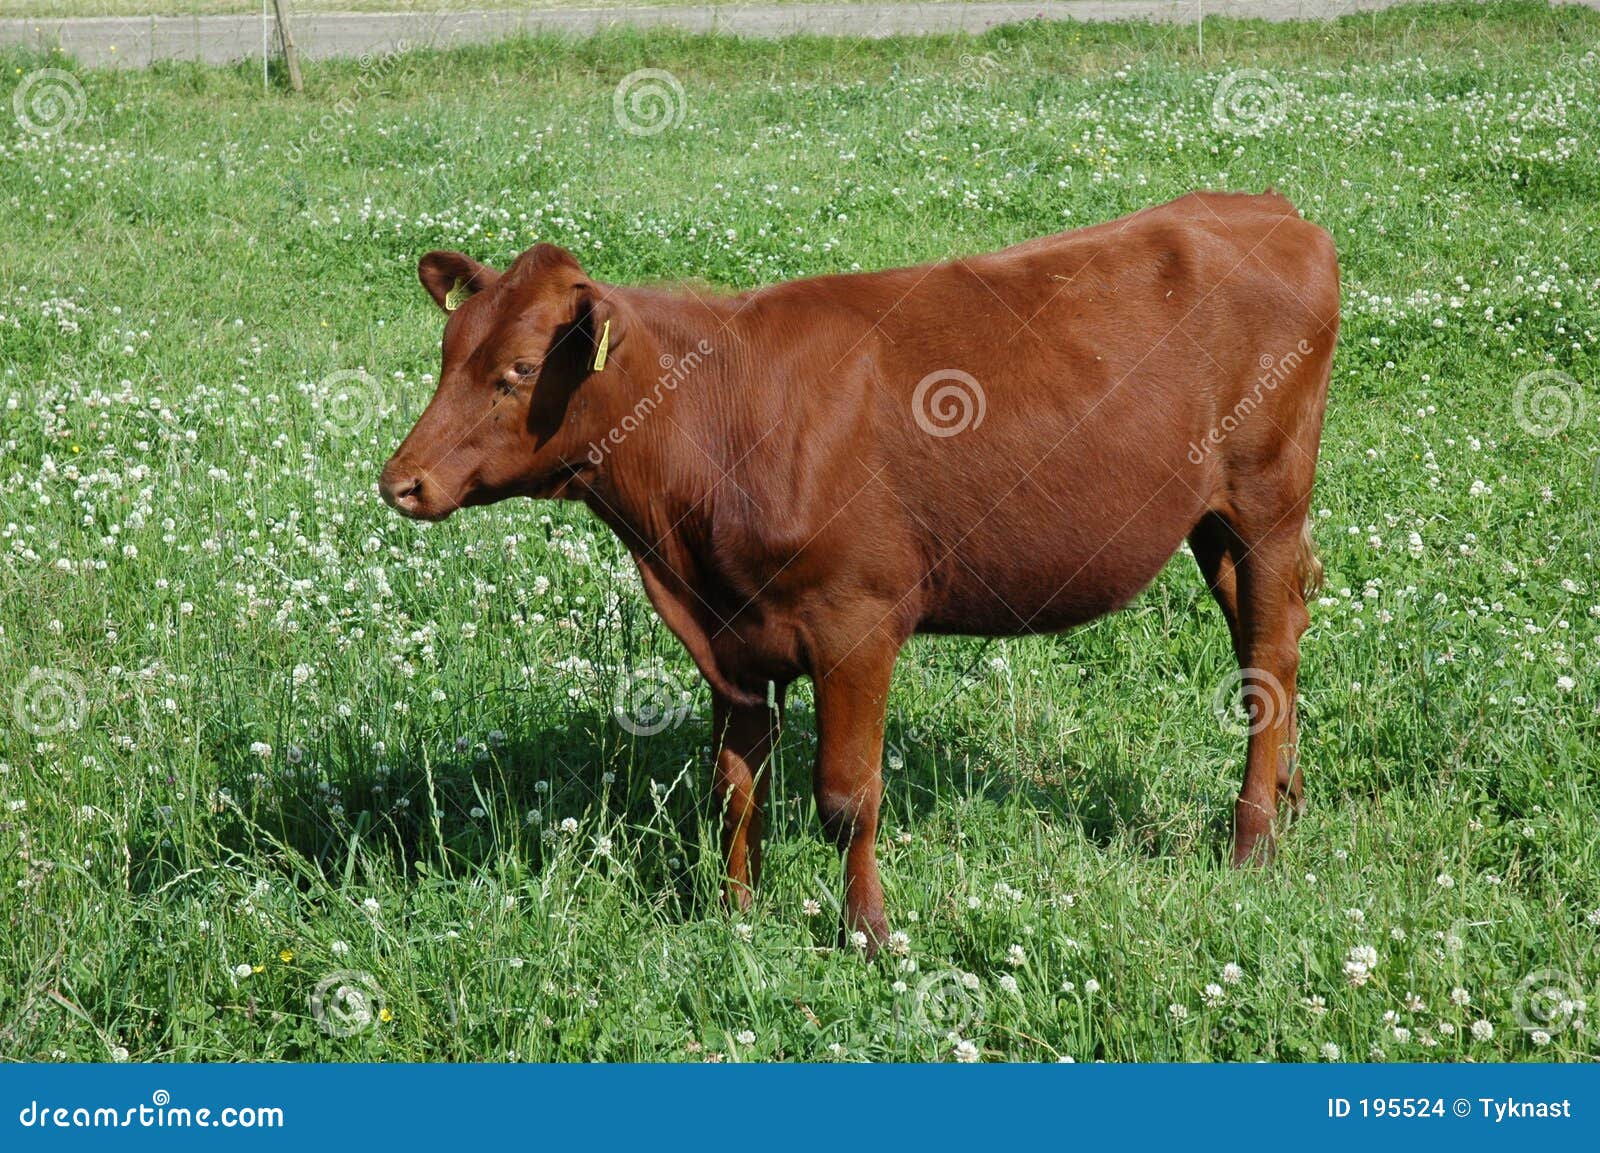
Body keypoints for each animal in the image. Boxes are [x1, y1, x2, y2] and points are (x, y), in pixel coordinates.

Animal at [379, 189, 1339, 951]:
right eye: (446, 353)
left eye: (519, 370)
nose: (401, 482)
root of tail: (1264, 206)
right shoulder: (730, 636)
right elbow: (733, 785)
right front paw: (735, 913)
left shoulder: (855, 621)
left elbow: (846, 796)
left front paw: (868, 933)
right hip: (1213, 522)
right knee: (1275, 637)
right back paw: (1288, 799)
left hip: (1267, 498)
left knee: (1265, 651)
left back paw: (1252, 842)